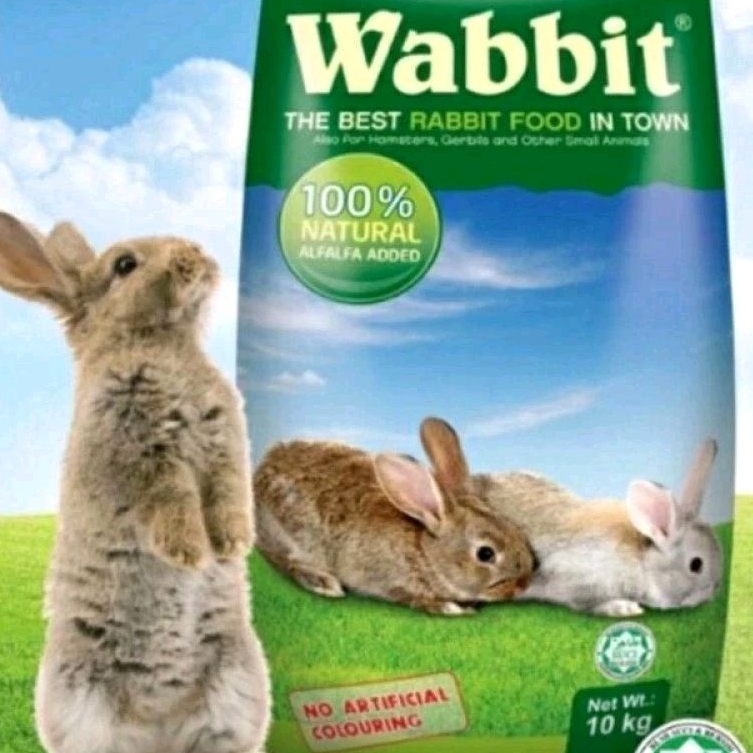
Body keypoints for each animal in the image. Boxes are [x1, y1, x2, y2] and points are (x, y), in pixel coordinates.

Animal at [0, 212, 270, 753]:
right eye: (125, 265)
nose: (195, 252)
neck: (156, 340)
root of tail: (159, 726)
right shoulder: (137, 455)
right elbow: (171, 496)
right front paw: (191, 552)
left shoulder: (225, 443)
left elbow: (228, 492)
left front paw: (231, 544)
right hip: (83, 707)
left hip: (236, 691)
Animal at [252, 419, 534, 616]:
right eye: (485, 554)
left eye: (516, 531)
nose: (522, 585)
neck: (424, 550)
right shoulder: (391, 581)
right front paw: (452, 608)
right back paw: (321, 582)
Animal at [419, 417, 723, 618]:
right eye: (696, 565)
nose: (711, 594)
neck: (641, 556)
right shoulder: (578, 582)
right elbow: (588, 604)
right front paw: (623, 608)